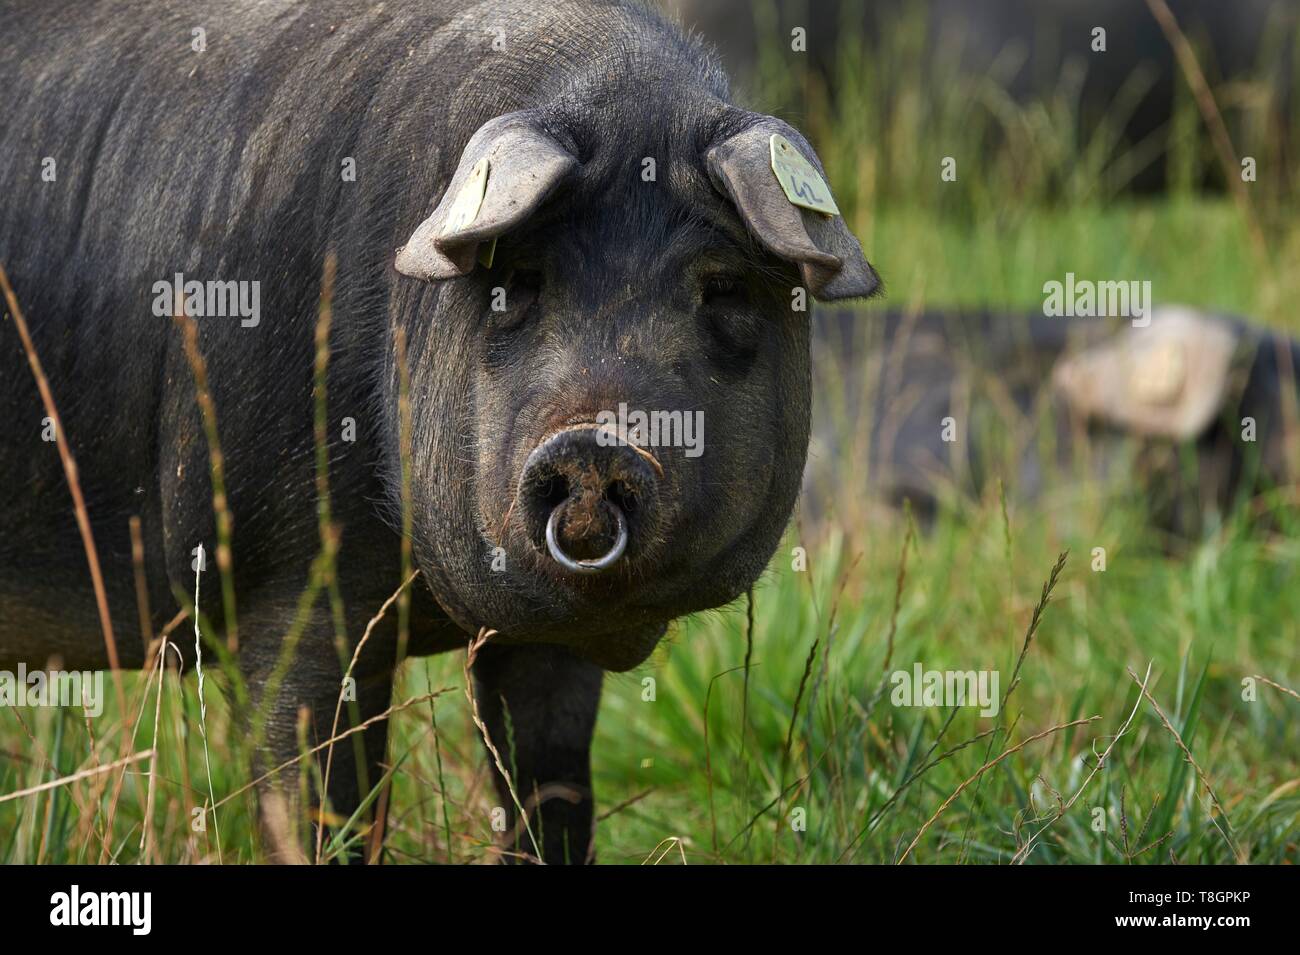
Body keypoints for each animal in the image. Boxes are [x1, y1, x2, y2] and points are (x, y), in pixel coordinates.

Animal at [0, 0, 878, 863]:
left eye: (721, 286)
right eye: (518, 278)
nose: (595, 443)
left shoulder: (544, 641)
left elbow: (552, 787)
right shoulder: (284, 576)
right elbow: (318, 797)